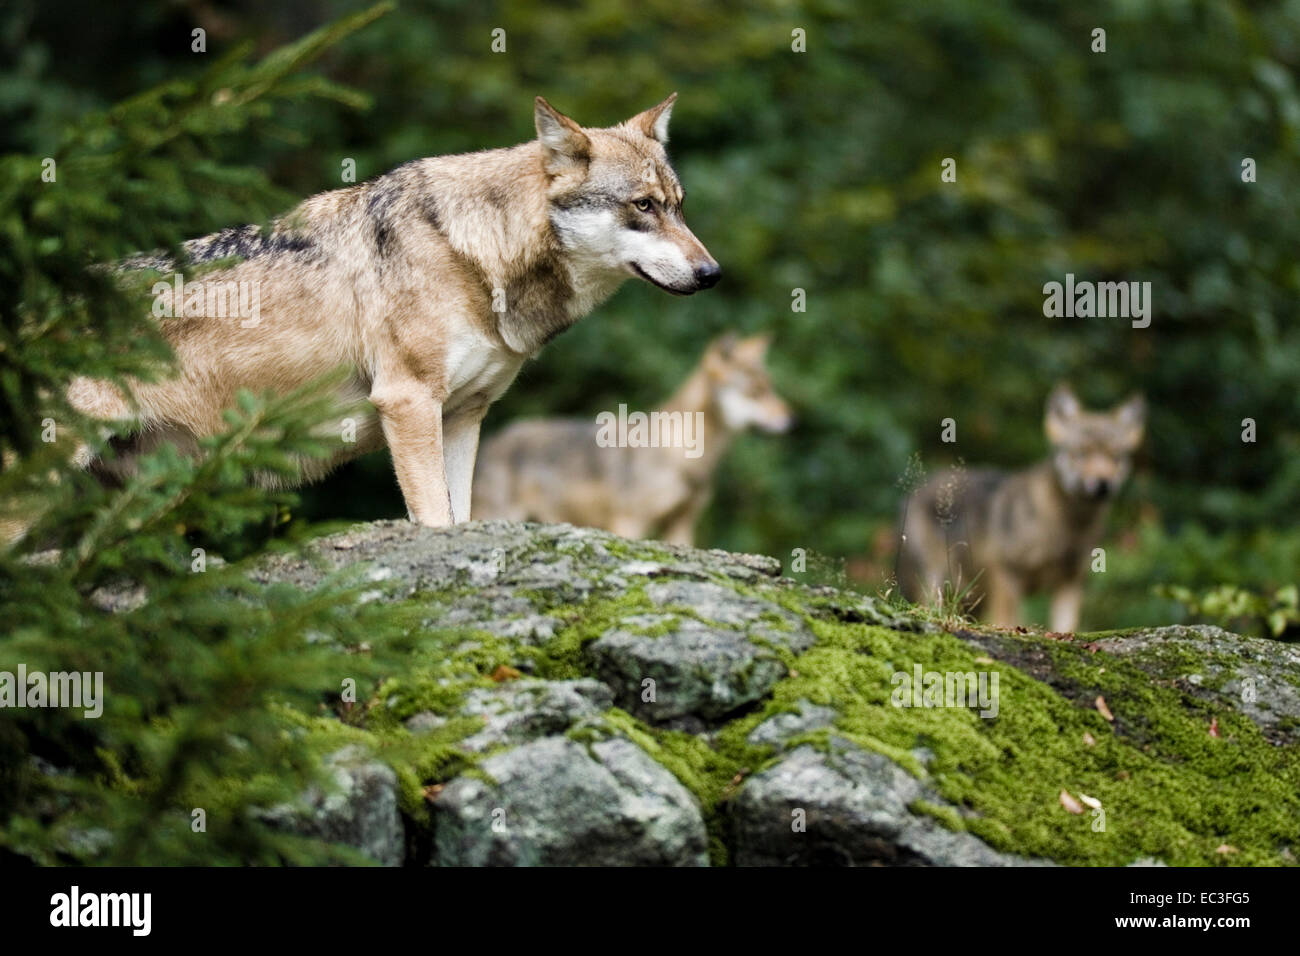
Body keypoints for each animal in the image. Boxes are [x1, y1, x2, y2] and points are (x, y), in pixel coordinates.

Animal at [62, 94, 719, 528]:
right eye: (643, 205)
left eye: (679, 206)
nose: (712, 274)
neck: (471, 252)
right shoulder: (408, 403)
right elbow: (433, 521)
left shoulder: (463, 418)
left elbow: (459, 520)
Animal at [472, 332, 792, 545]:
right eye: (755, 393)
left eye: (770, 388)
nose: (792, 420)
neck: (681, 454)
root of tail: (492, 442)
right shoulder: (628, 523)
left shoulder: (681, 526)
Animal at [897, 384, 1145, 632]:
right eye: (1080, 453)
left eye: (1116, 457)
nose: (1103, 484)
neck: (1068, 526)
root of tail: (916, 490)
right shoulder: (1006, 577)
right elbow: (1006, 622)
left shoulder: (1070, 582)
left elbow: (1067, 627)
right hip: (936, 584)